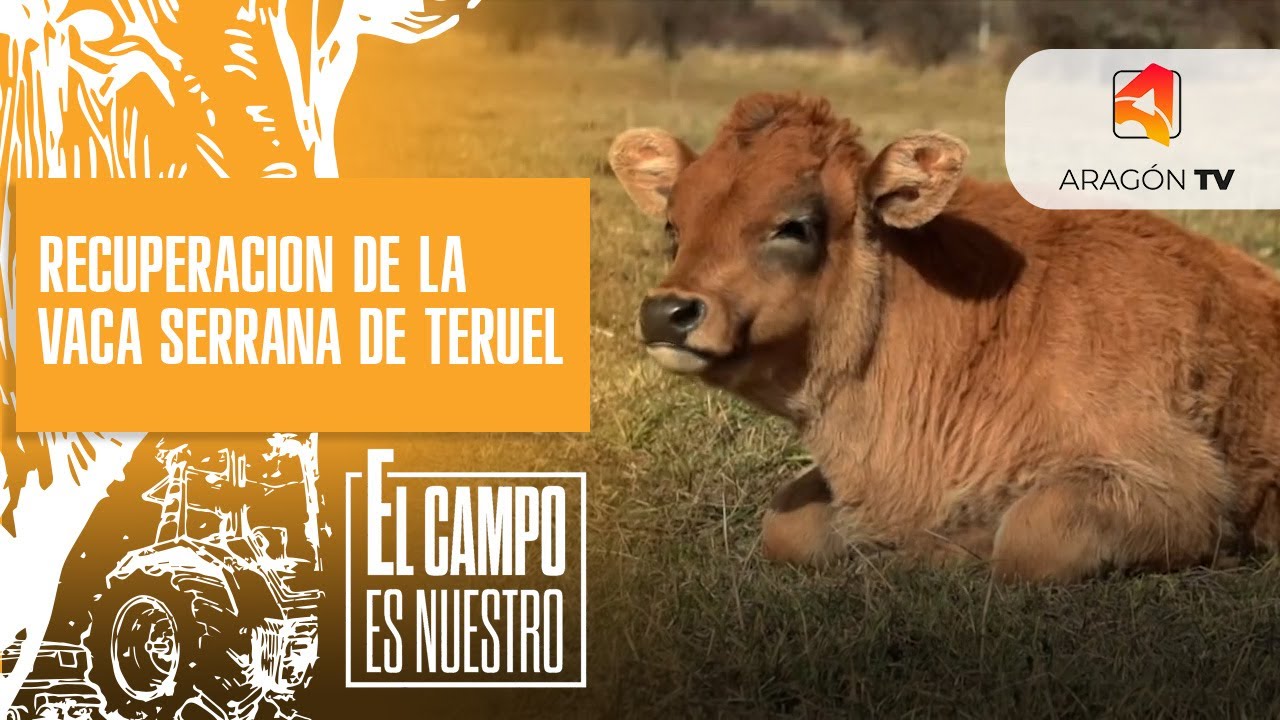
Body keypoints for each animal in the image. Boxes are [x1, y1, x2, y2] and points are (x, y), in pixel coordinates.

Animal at [608, 92, 1280, 584]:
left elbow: (1030, 537)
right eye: (674, 227)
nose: (668, 312)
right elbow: (786, 528)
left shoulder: (1181, 487)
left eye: (795, 225)